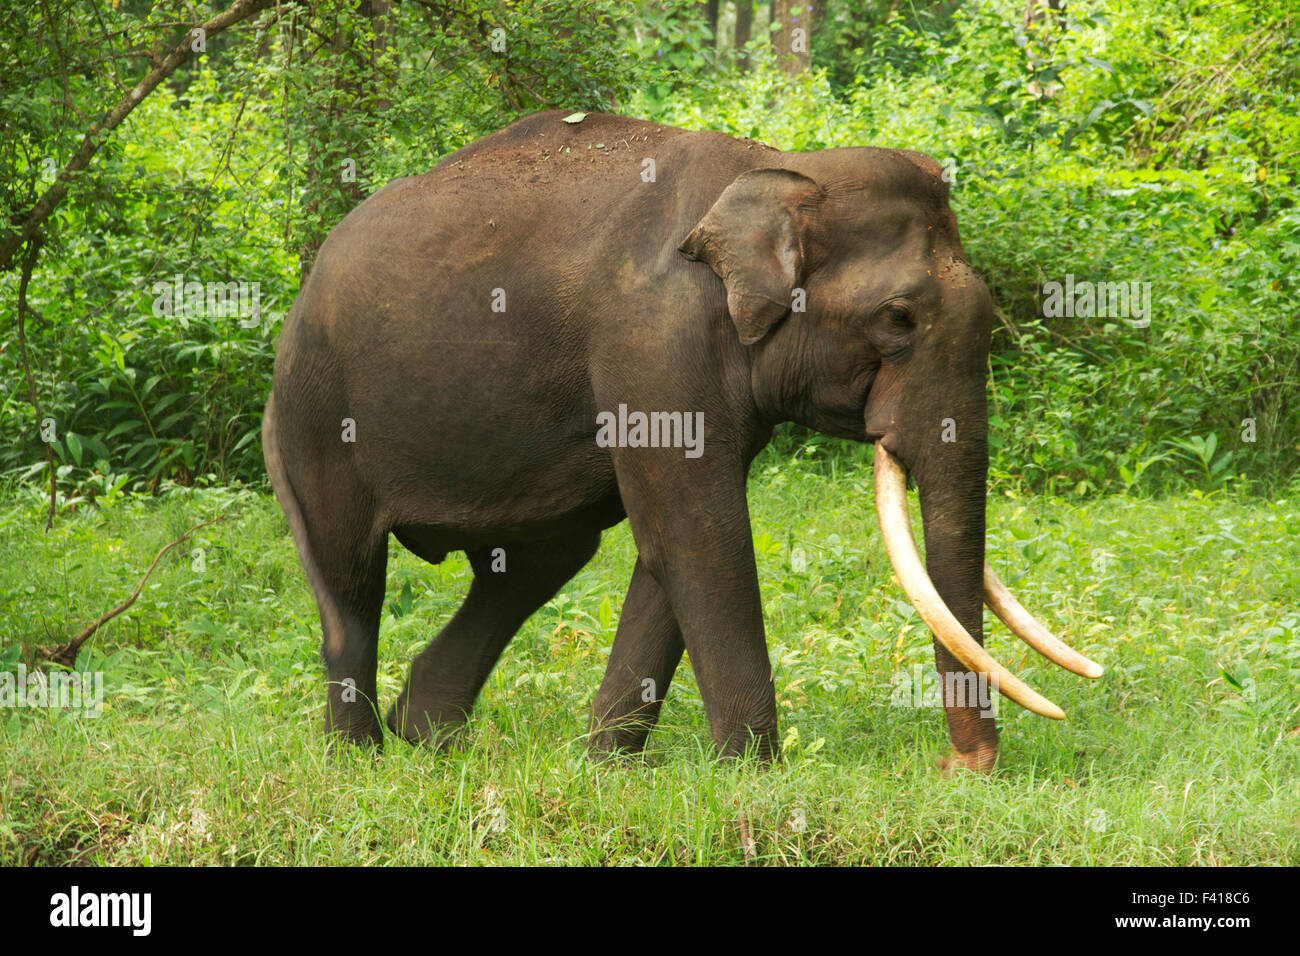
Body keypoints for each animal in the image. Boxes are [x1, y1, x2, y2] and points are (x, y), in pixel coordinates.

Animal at [262, 110, 1101, 774]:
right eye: (898, 318)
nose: (959, 767)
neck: (779, 167)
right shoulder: (652, 340)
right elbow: (702, 535)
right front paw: (754, 775)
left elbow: (673, 544)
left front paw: (606, 769)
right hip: (316, 409)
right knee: (351, 572)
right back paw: (362, 758)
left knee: (536, 562)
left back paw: (430, 738)